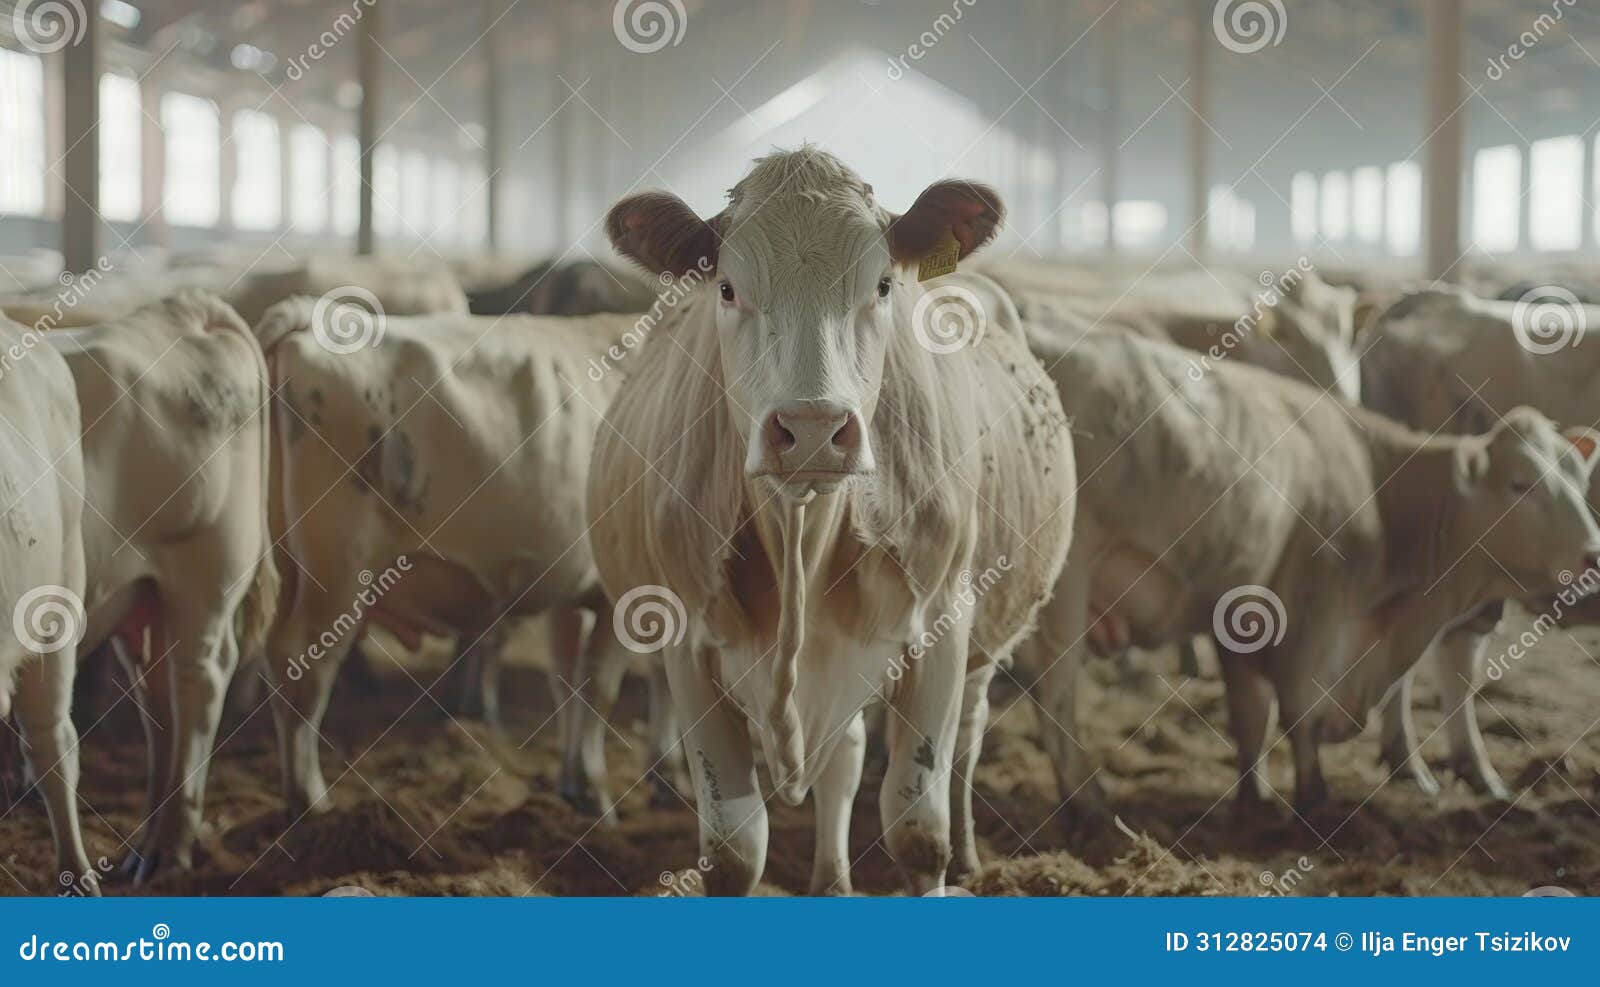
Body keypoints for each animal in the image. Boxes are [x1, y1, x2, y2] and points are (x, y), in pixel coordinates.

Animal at [41, 290, 279, 883]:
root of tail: (184, 312)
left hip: (206, 570)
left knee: (199, 680)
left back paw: (170, 848)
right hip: (138, 592)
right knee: (158, 700)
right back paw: (144, 845)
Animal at [251, 299, 677, 825]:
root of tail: (306, 316)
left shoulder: (573, 589)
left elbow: (569, 684)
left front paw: (577, 783)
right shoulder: (627, 593)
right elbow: (606, 688)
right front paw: (605, 794)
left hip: (287, 569)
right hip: (338, 574)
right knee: (304, 668)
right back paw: (312, 800)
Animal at [589, 147, 1075, 895]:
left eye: (882, 285)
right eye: (726, 288)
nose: (813, 430)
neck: (804, 536)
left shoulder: (943, 623)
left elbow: (917, 830)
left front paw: (942, 856)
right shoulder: (689, 643)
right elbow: (735, 848)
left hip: (982, 647)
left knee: (966, 738)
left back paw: (969, 856)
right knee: (843, 758)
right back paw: (831, 879)